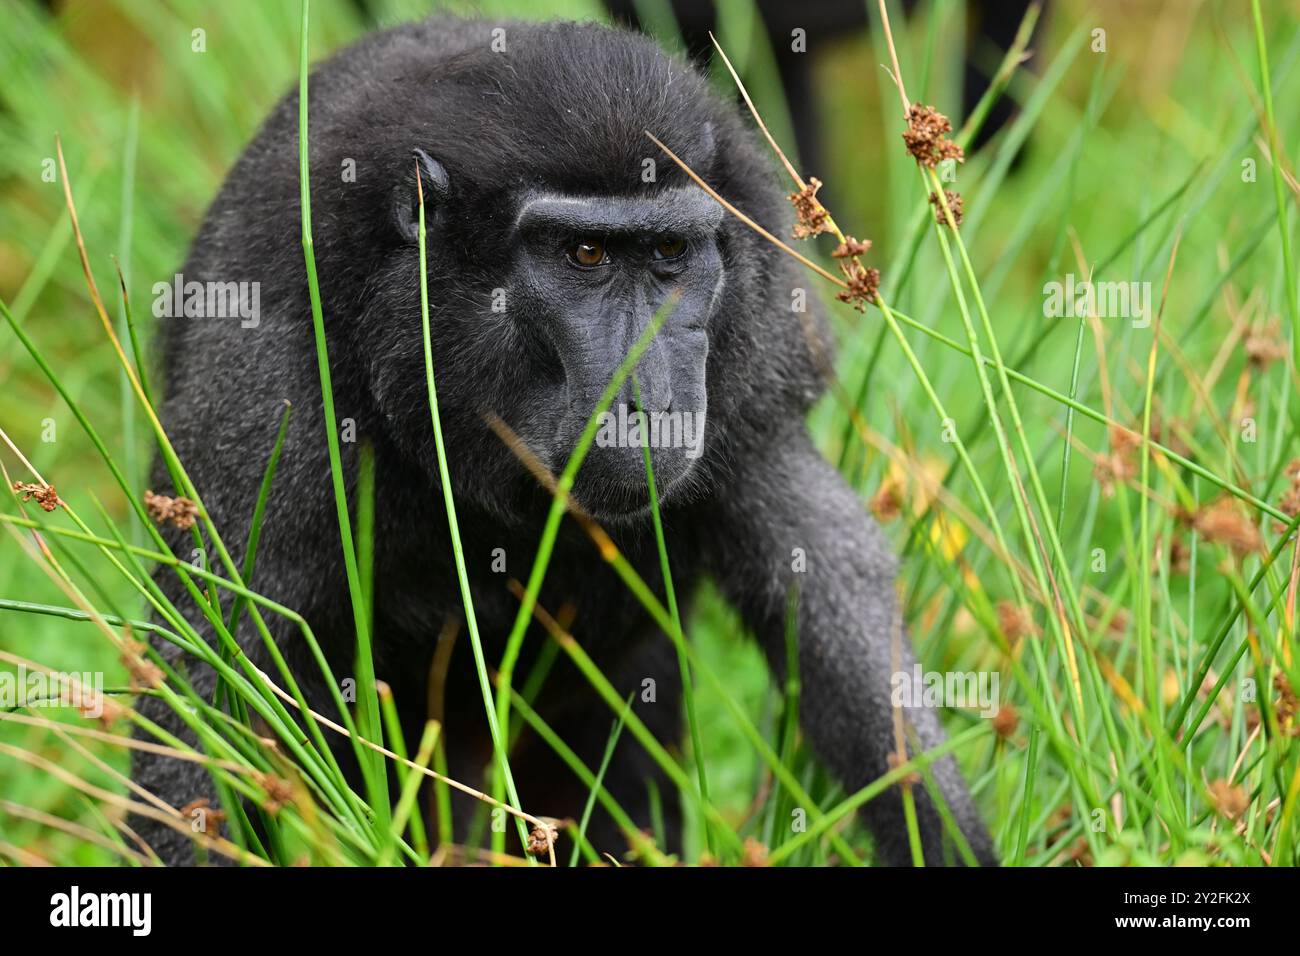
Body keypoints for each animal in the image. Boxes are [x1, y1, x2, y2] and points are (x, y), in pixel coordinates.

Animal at [131, 15, 997, 867]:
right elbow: (210, 687)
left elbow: (824, 572)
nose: (649, 401)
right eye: (584, 255)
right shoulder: (275, 384)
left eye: (669, 255)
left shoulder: (756, 361)